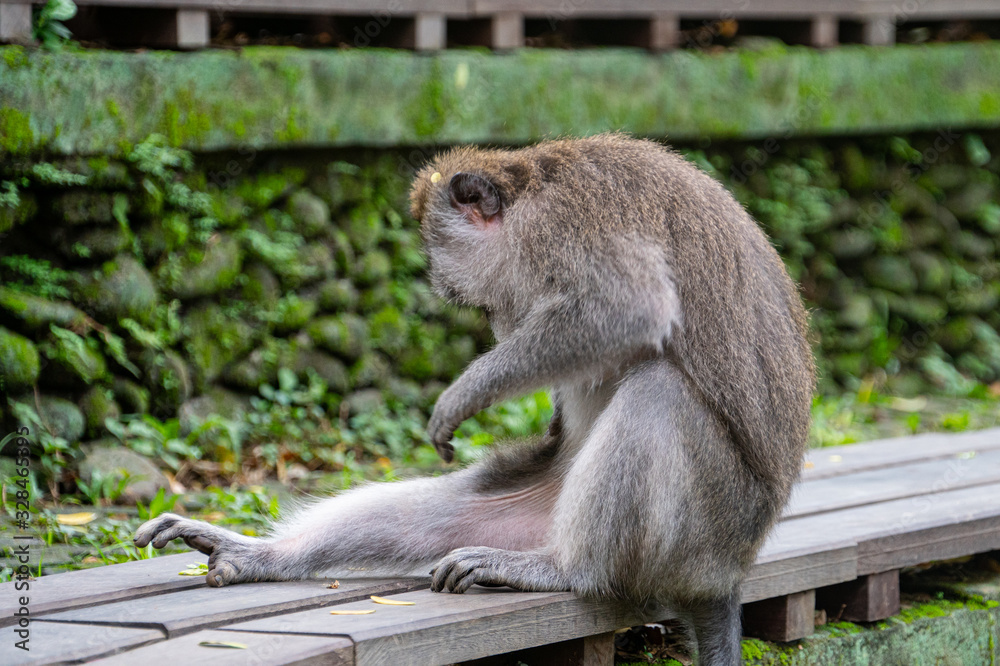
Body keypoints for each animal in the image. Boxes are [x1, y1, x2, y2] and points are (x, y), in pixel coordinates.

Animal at [134, 134, 814, 666]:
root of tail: (729, 572)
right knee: (459, 506)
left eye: (477, 302)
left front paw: (467, 391)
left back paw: (570, 570)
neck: (532, 186)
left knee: (658, 391)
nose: (498, 329)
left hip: (709, 527)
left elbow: (631, 306)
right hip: (556, 505)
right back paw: (261, 555)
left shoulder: (569, 223)